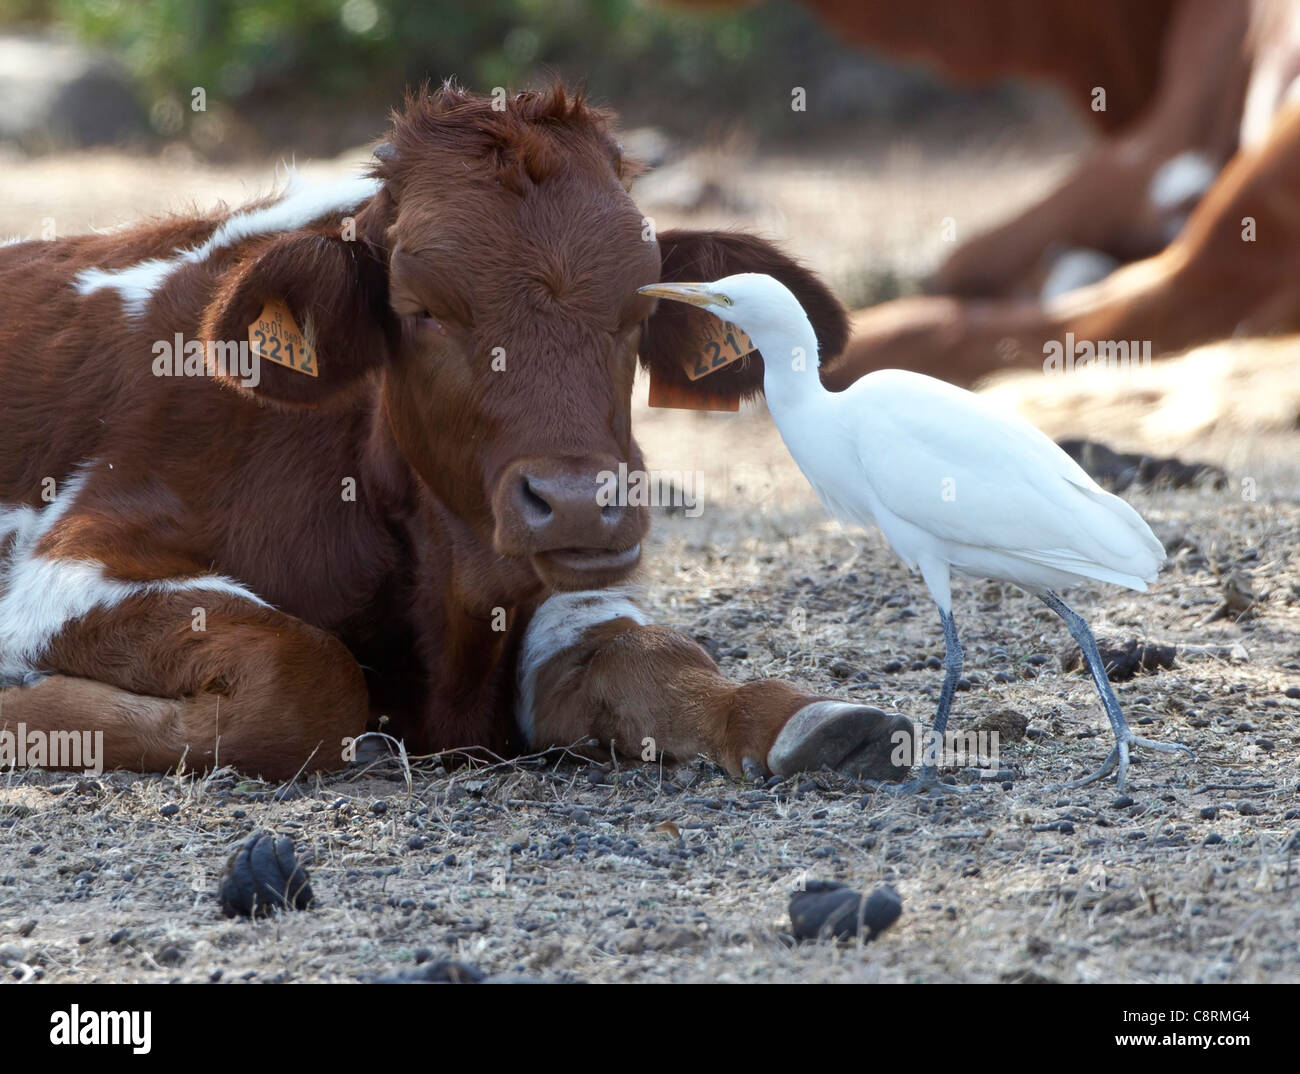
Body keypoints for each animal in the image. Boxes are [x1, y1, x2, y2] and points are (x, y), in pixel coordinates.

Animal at [0, 83, 914, 783]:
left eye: (640, 307)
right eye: (422, 310)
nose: (578, 502)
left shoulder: (564, 590)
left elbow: (655, 657)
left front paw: (800, 717)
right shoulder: (76, 552)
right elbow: (300, 672)